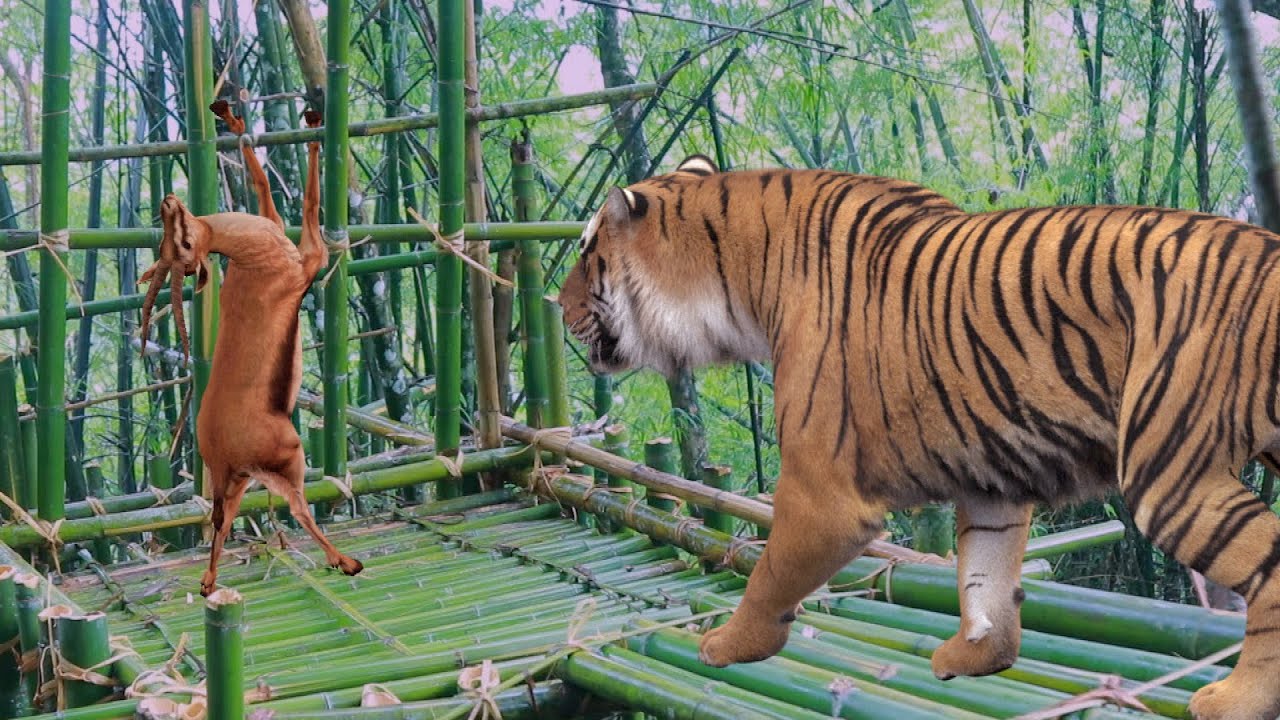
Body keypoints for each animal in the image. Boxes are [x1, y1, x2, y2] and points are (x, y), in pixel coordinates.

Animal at [557, 154, 1280, 720]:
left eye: (587, 254)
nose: (553, 306)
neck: (735, 286)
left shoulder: (821, 493)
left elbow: (767, 576)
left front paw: (726, 646)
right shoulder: (991, 484)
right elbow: (984, 575)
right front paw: (977, 656)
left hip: (1167, 473)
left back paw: (1233, 701)